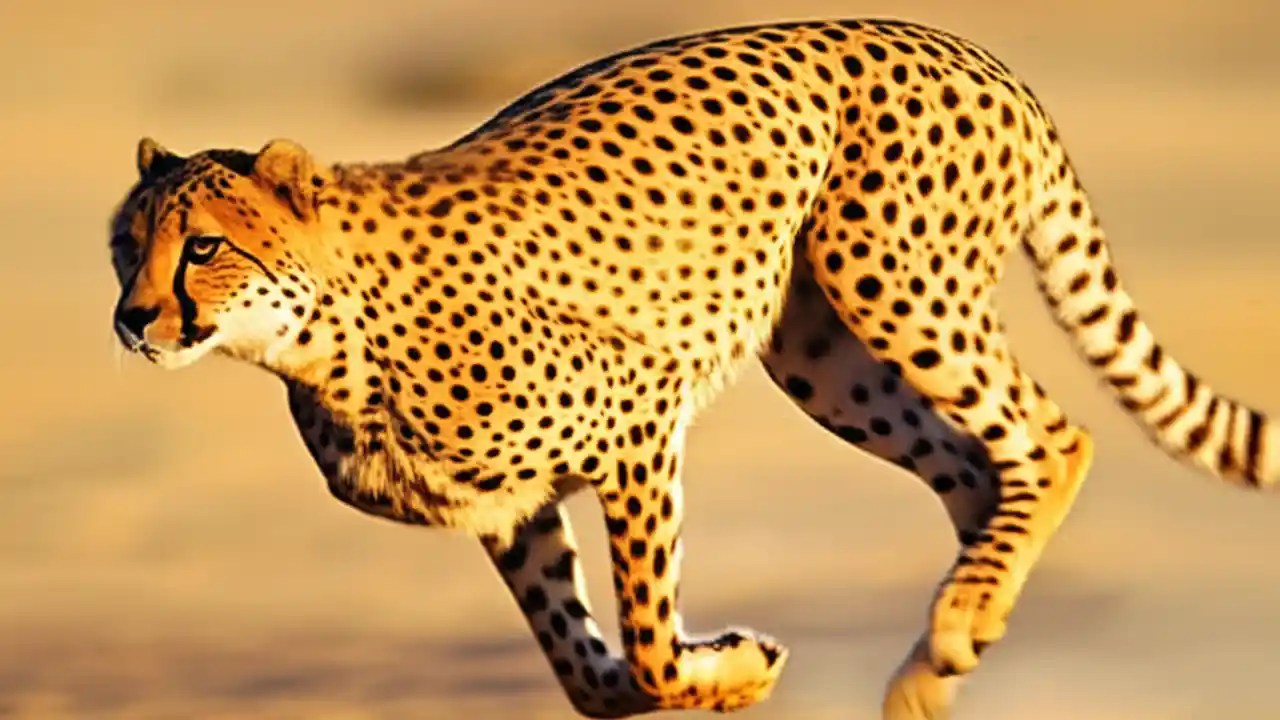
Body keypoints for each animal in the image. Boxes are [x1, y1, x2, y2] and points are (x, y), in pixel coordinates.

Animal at [107, 18, 1278, 720]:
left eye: (202, 247)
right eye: (126, 246)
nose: (132, 320)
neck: (321, 343)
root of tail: (952, 41)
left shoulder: (637, 418)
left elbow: (648, 643)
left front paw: (734, 667)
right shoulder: (507, 506)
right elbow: (586, 670)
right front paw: (718, 664)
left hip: (884, 272)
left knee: (1049, 438)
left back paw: (954, 624)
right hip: (820, 356)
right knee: (972, 468)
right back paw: (948, 641)